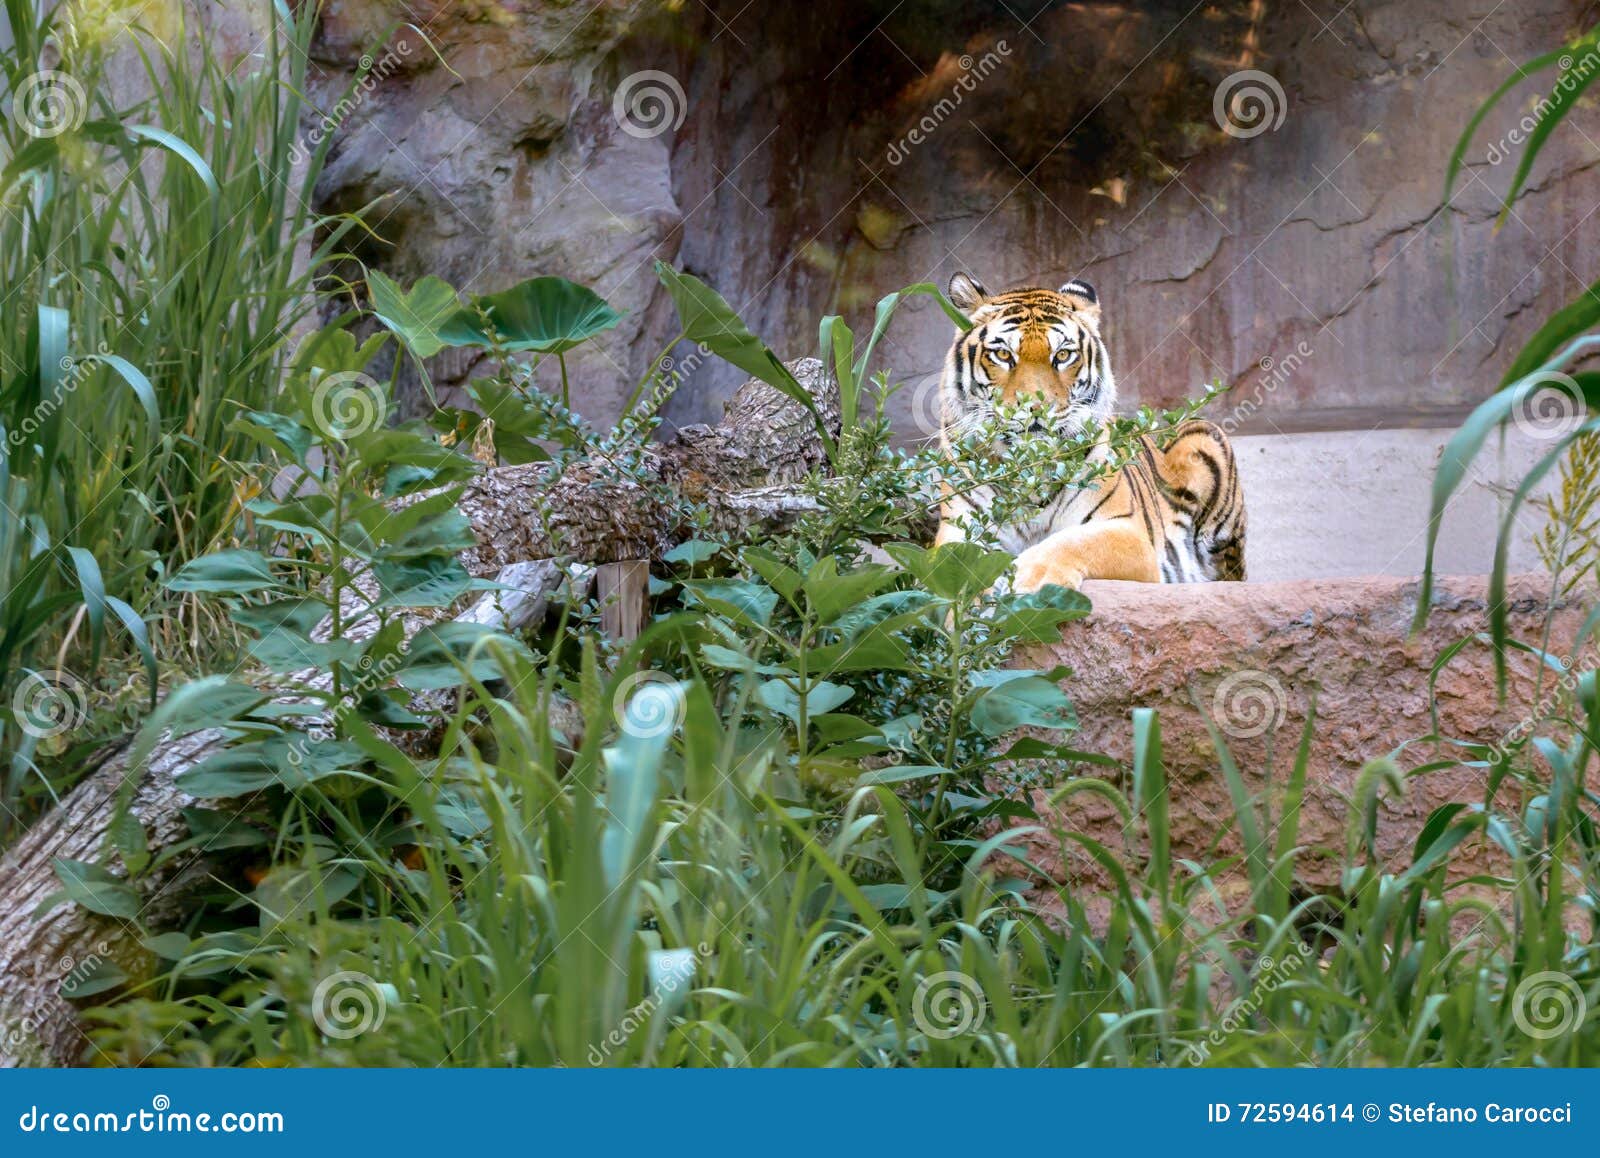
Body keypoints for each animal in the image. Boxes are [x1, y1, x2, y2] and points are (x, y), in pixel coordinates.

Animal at [933, 272, 1246, 591]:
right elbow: (954, 564)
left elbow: (1070, 543)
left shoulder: (1126, 531)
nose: (1037, 407)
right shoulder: (959, 528)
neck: (1030, 473)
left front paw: (1030, 579)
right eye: (1003, 354)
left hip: (1205, 439)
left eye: (1062, 355)